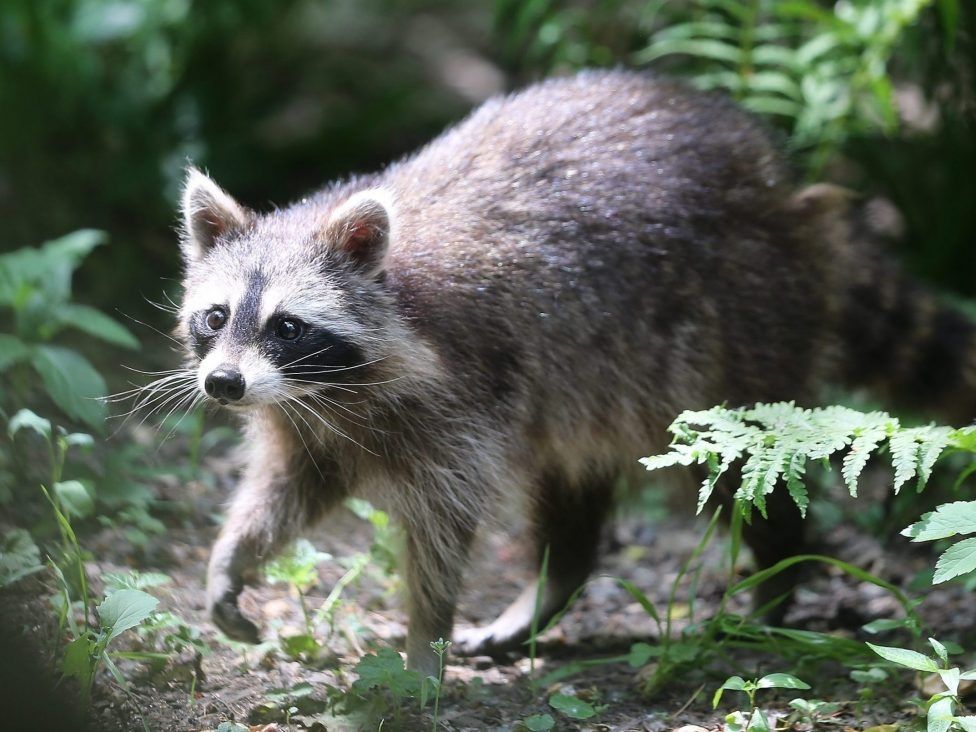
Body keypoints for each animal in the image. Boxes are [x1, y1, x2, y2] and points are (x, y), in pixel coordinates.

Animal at [175, 70, 976, 676]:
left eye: (286, 325)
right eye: (216, 317)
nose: (223, 385)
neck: (332, 389)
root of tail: (787, 198)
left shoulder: (457, 403)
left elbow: (442, 527)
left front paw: (425, 638)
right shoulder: (310, 420)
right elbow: (288, 488)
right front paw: (231, 561)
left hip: (738, 334)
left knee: (749, 469)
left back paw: (776, 578)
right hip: (589, 388)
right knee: (570, 483)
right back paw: (554, 583)